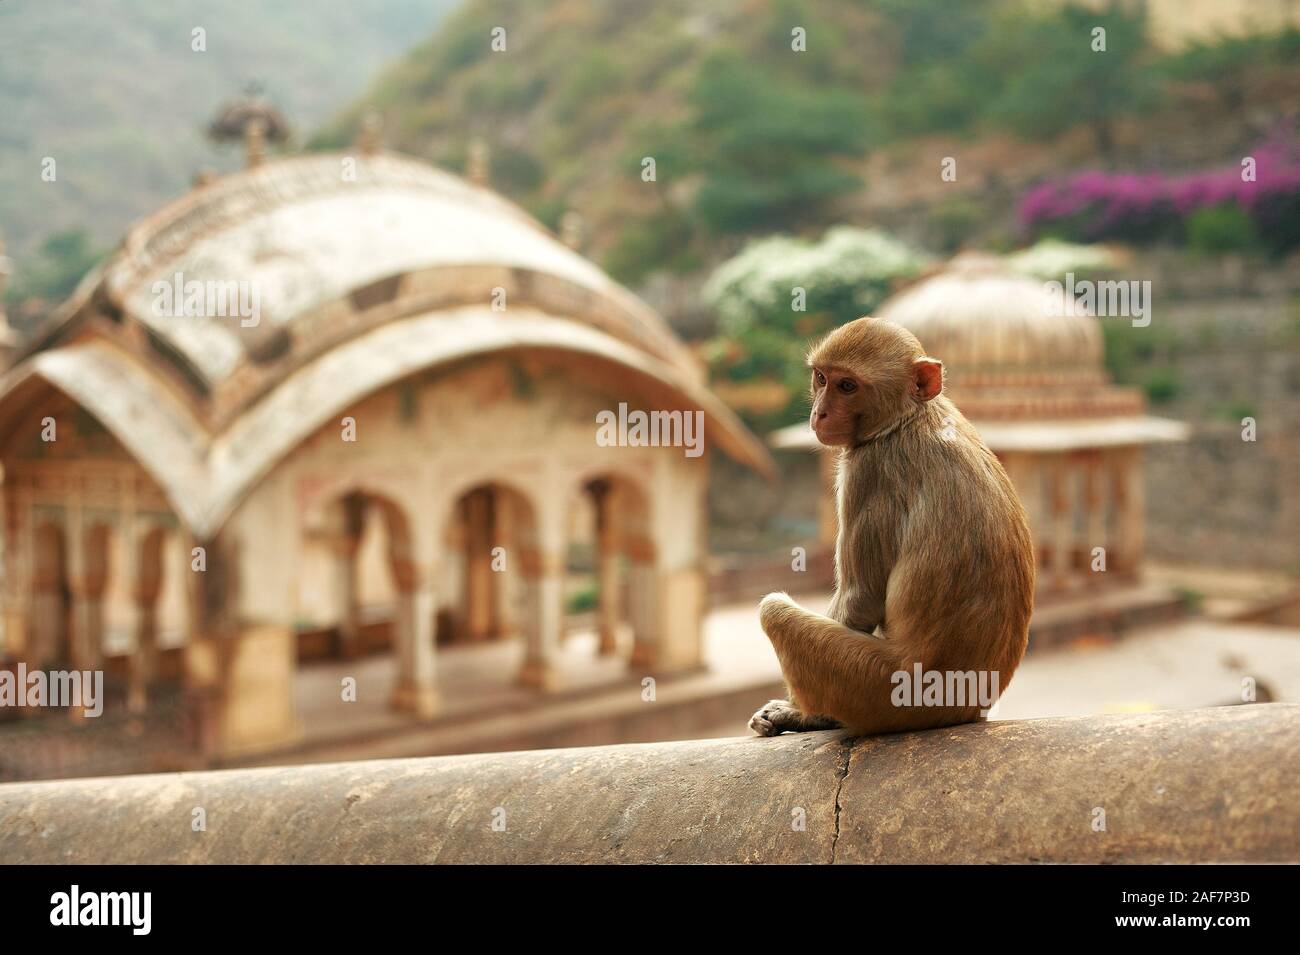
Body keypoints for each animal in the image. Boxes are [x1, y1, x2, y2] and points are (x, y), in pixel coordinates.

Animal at [749, 316, 1035, 737]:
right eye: (821, 377)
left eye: (847, 386)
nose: (820, 414)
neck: (907, 419)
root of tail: (962, 706)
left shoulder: (866, 472)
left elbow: (861, 599)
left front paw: (802, 714)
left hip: (874, 685)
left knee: (774, 610)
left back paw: (816, 714)